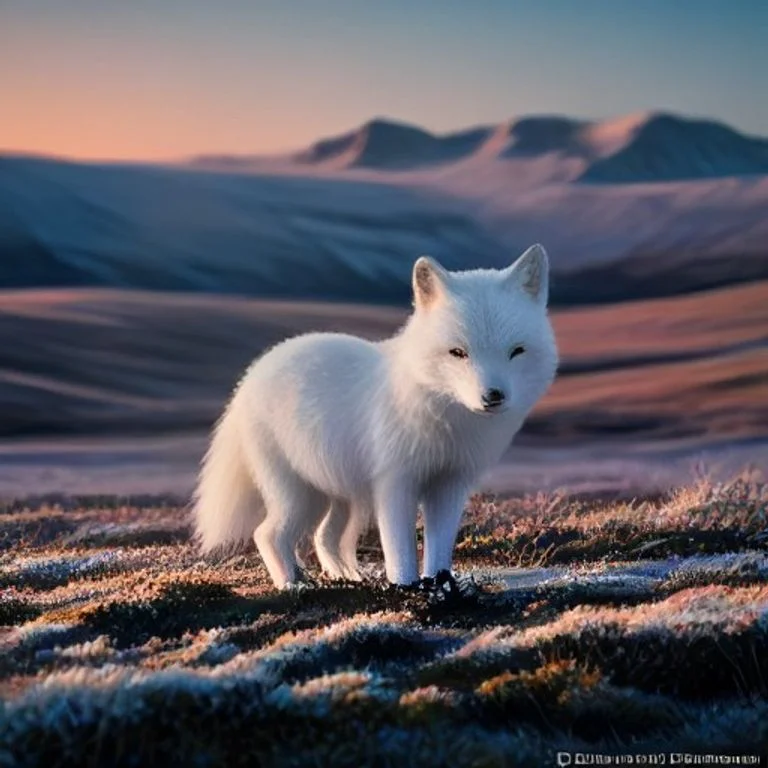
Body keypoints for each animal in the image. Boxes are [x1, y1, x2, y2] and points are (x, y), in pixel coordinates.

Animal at [193, 244, 558, 589]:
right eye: (458, 353)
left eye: (516, 351)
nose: (493, 396)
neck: (446, 417)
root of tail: (252, 372)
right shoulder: (395, 484)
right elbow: (400, 553)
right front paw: (407, 589)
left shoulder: (450, 485)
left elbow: (439, 549)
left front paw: (441, 586)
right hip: (301, 497)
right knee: (268, 534)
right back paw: (293, 585)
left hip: (343, 499)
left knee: (324, 537)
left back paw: (344, 578)